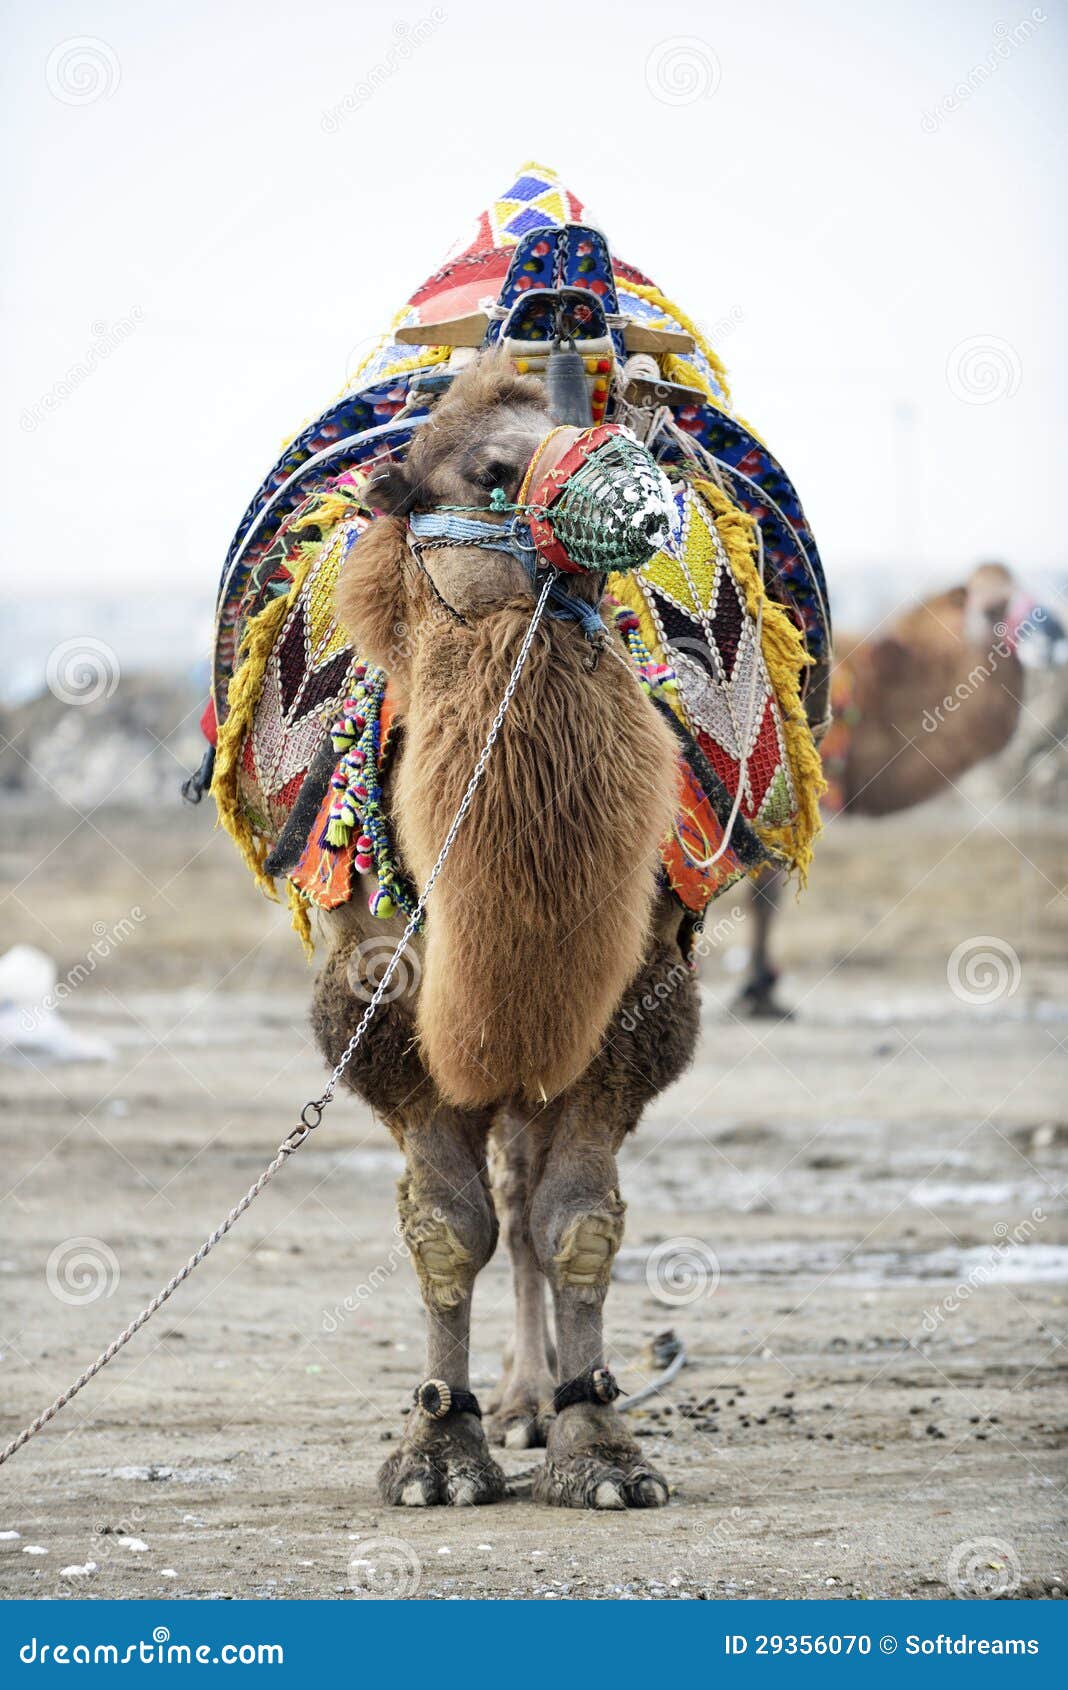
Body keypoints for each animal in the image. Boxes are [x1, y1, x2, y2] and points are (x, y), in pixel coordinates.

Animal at [311, 354, 702, 1509]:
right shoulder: (383, 1005)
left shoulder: (628, 1003)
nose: (648, 466)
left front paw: (603, 1449)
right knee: (502, 1199)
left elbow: (576, 1224)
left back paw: (536, 1401)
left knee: (526, 1194)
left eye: (584, 417)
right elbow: (449, 1228)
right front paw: (438, 1451)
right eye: (490, 472)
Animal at [738, 562, 1024, 1015]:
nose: (991, 617)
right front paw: (759, 990)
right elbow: (762, 892)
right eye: (982, 596)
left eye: (1009, 595)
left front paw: (760, 985)